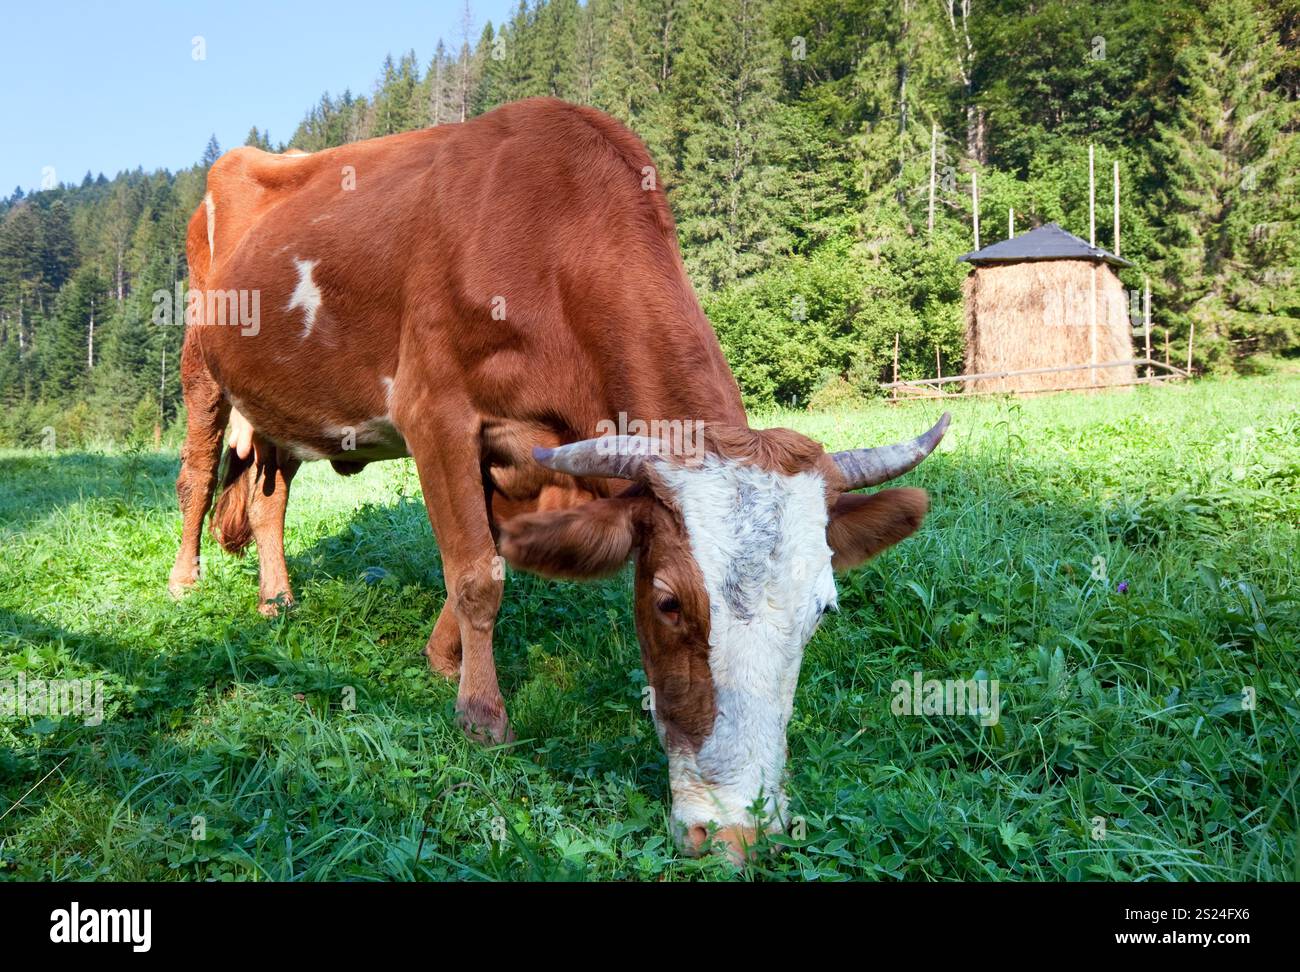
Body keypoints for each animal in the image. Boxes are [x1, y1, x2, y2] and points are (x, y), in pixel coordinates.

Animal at [168, 97, 949, 861]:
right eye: (668, 603)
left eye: (823, 611)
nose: (737, 832)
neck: (555, 251)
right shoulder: (434, 410)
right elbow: (477, 573)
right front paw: (482, 716)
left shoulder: (535, 458)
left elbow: (496, 553)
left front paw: (442, 659)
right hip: (201, 357)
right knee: (198, 476)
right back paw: (185, 581)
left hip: (278, 405)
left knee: (268, 498)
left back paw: (277, 601)